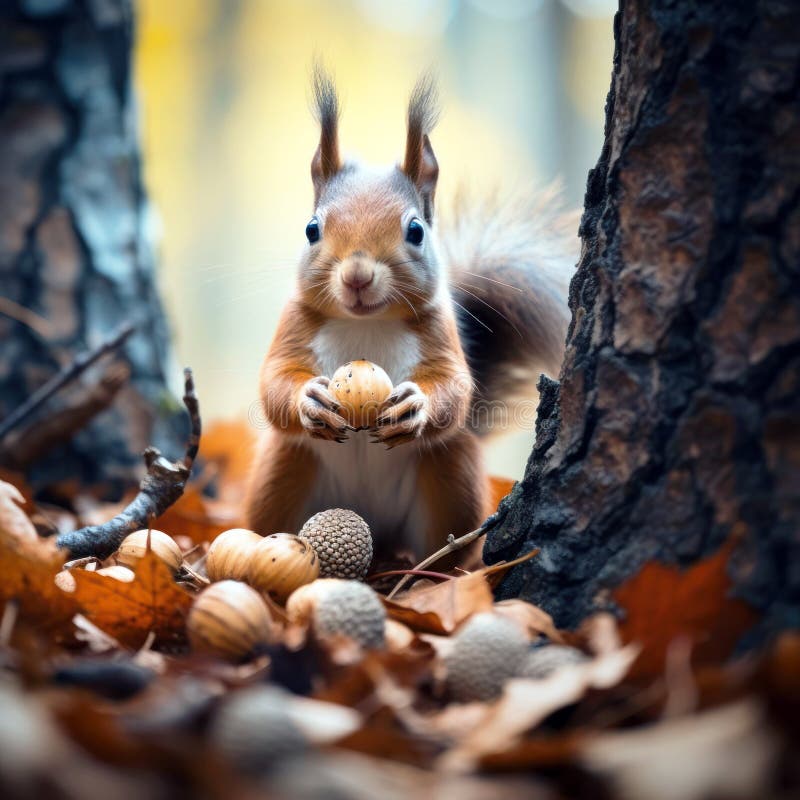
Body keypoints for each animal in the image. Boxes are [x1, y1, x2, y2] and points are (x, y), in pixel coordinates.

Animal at [244, 70, 577, 560]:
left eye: (416, 230)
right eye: (311, 229)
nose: (357, 276)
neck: (365, 323)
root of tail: (374, 528)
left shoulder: (441, 330)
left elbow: (455, 385)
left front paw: (415, 406)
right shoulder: (294, 324)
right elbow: (274, 380)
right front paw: (309, 400)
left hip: (450, 475)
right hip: (283, 470)